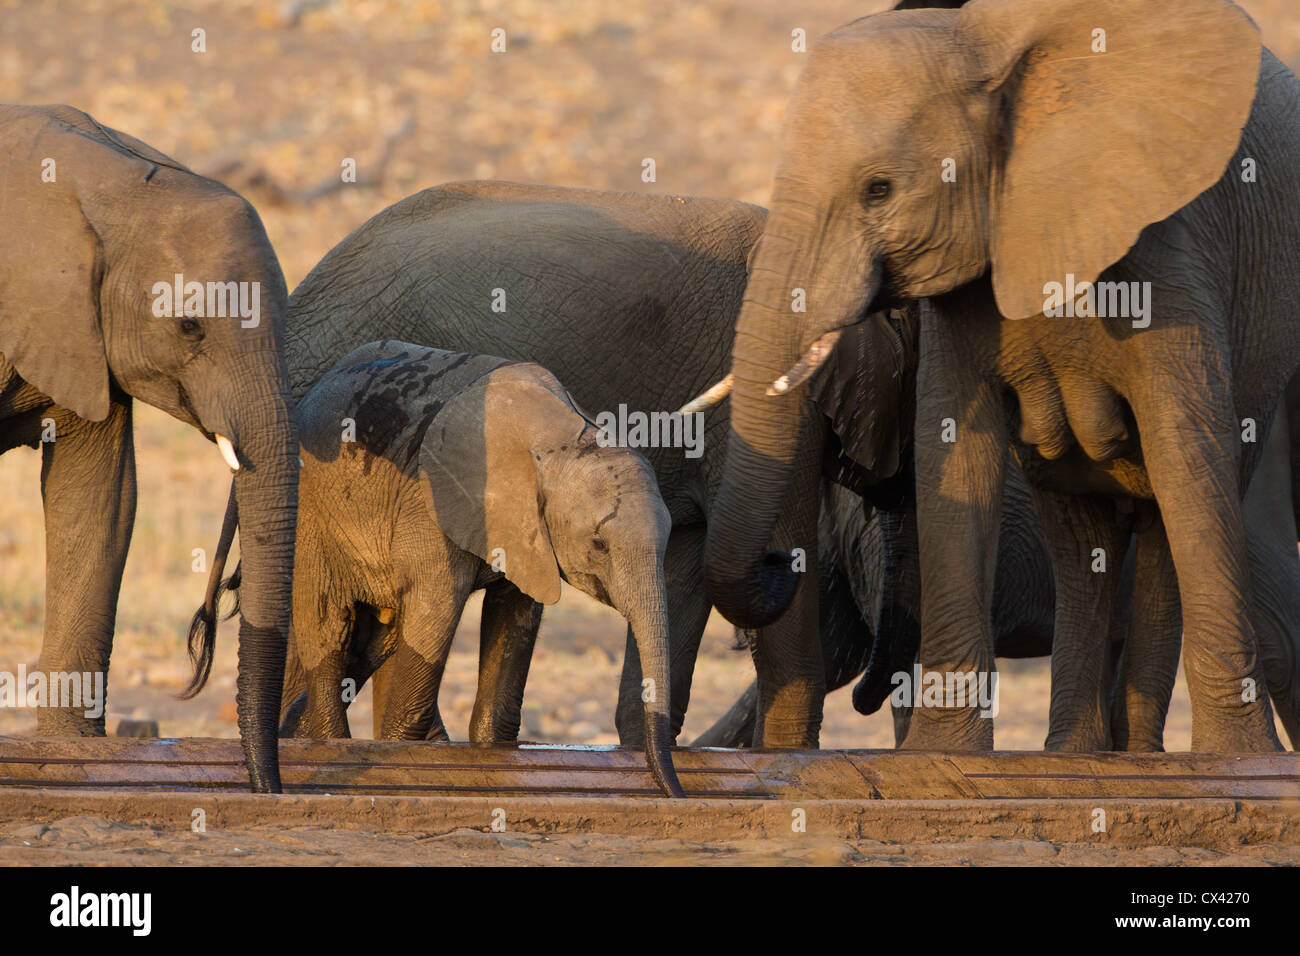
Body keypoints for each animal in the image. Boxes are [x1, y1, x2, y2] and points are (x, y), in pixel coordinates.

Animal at [0, 105, 298, 792]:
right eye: (189, 325)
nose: (268, 792)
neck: (110, 184)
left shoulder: (83, 336)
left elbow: (100, 501)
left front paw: (71, 755)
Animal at [276, 341, 684, 796]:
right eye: (600, 544)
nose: (675, 792)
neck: (560, 437)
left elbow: (514, 617)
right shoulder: (430, 503)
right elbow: (435, 614)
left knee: (382, 632)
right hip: (312, 513)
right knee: (329, 624)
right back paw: (325, 740)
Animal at [702, 0, 1300, 752]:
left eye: (878, 190)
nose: (779, 561)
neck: (983, 56)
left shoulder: (1164, 242)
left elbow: (1185, 449)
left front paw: (1237, 763)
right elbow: (956, 446)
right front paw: (936, 758)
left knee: (1179, 504)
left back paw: (1140, 758)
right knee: (1082, 531)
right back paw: (1076, 756)